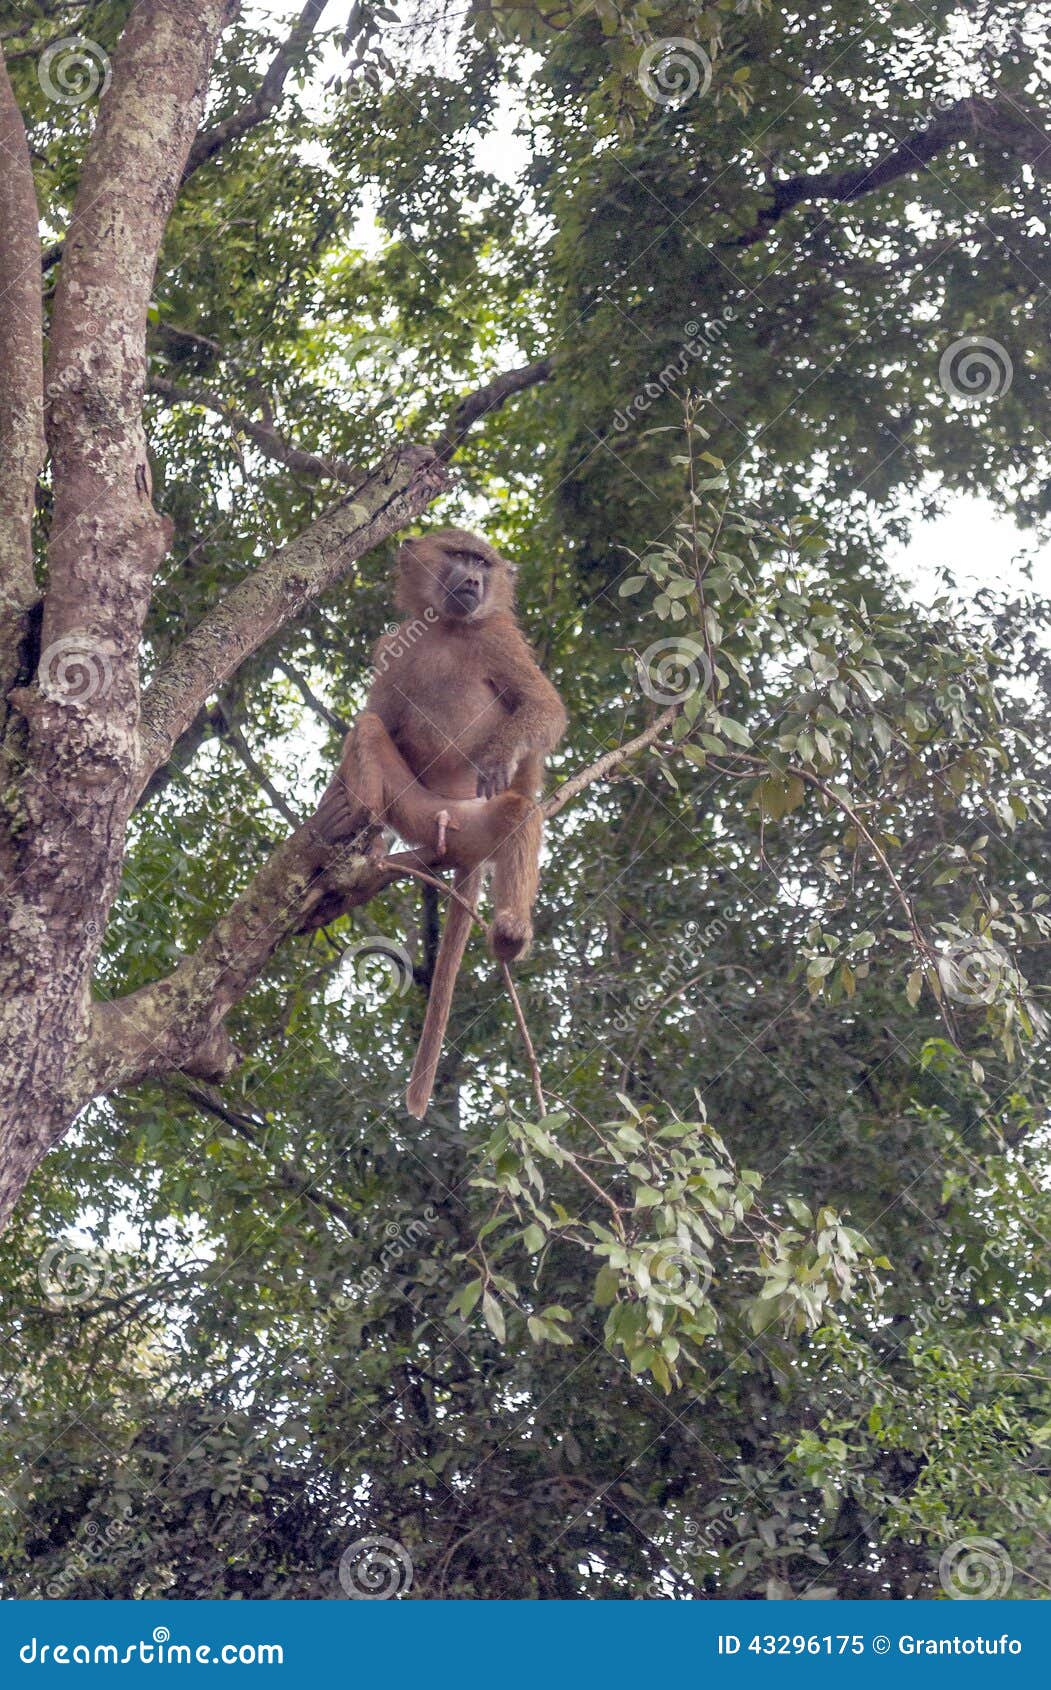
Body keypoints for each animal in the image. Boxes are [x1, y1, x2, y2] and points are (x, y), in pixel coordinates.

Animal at [314, 528, 566, 1119]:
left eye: (483, 562)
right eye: (459, 555)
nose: (472, 579)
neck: (449, 628)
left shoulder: (500, 639)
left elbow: (542, 708)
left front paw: (498, 756)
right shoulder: (395, 646)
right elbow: (382, 714)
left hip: (476, 821)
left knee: (519, 813)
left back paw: (510, 933)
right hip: (415, 809)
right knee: (369, 728)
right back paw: (357, 822)